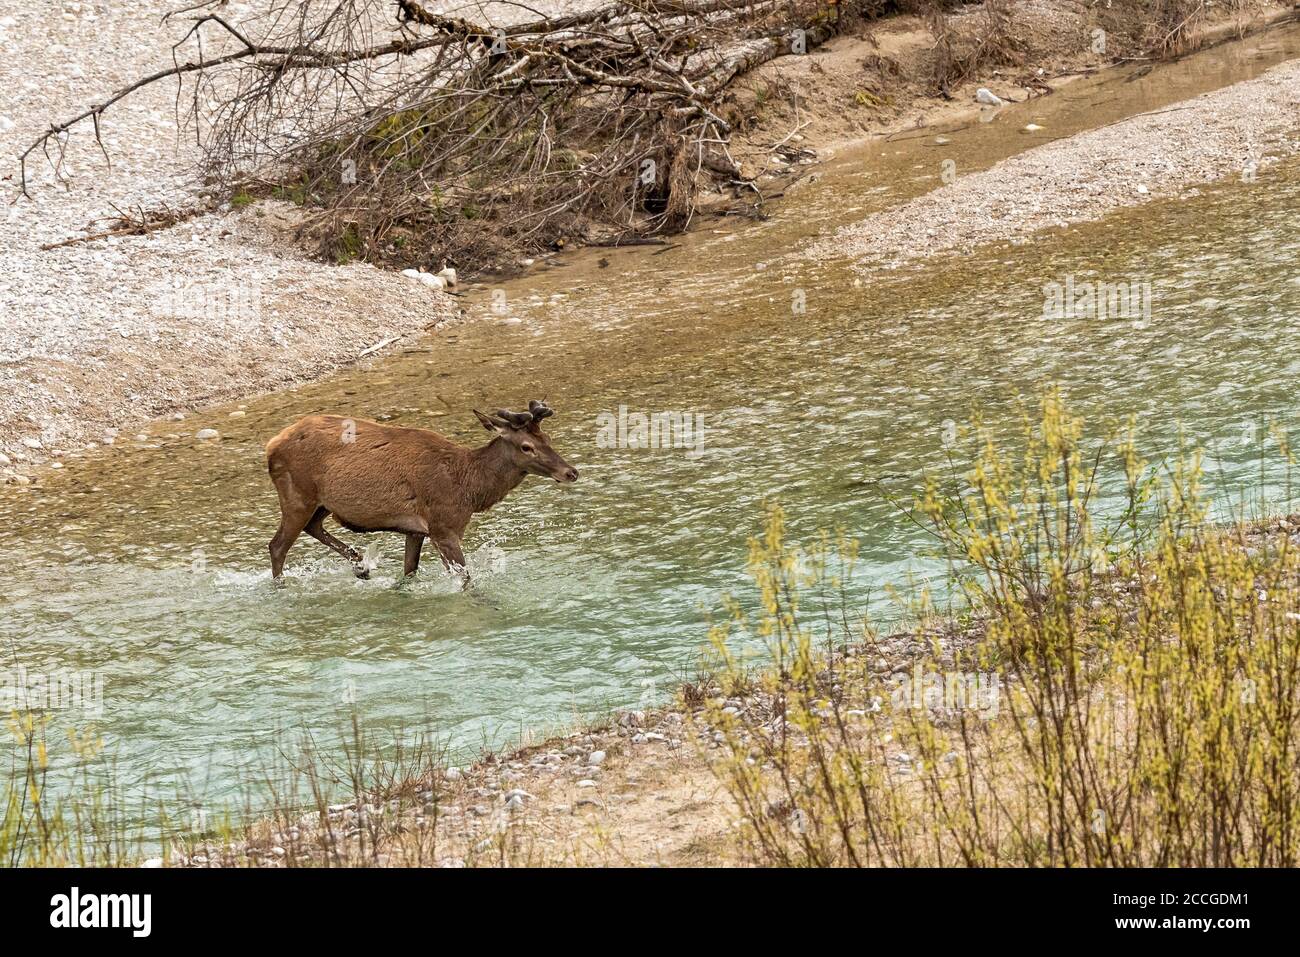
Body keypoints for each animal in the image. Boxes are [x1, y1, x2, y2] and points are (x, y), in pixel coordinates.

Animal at [265, 400, 578, 583]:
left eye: (548, 438)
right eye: (526, 446)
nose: (571, 472)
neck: (470, 488)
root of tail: (271, 445)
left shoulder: (415, 530)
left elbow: (408, 573)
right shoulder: (444, 527)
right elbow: (465, 579)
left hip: (322, 503)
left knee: (312, 527)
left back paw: (361, 566)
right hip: (297, 495)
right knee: (277, 545)